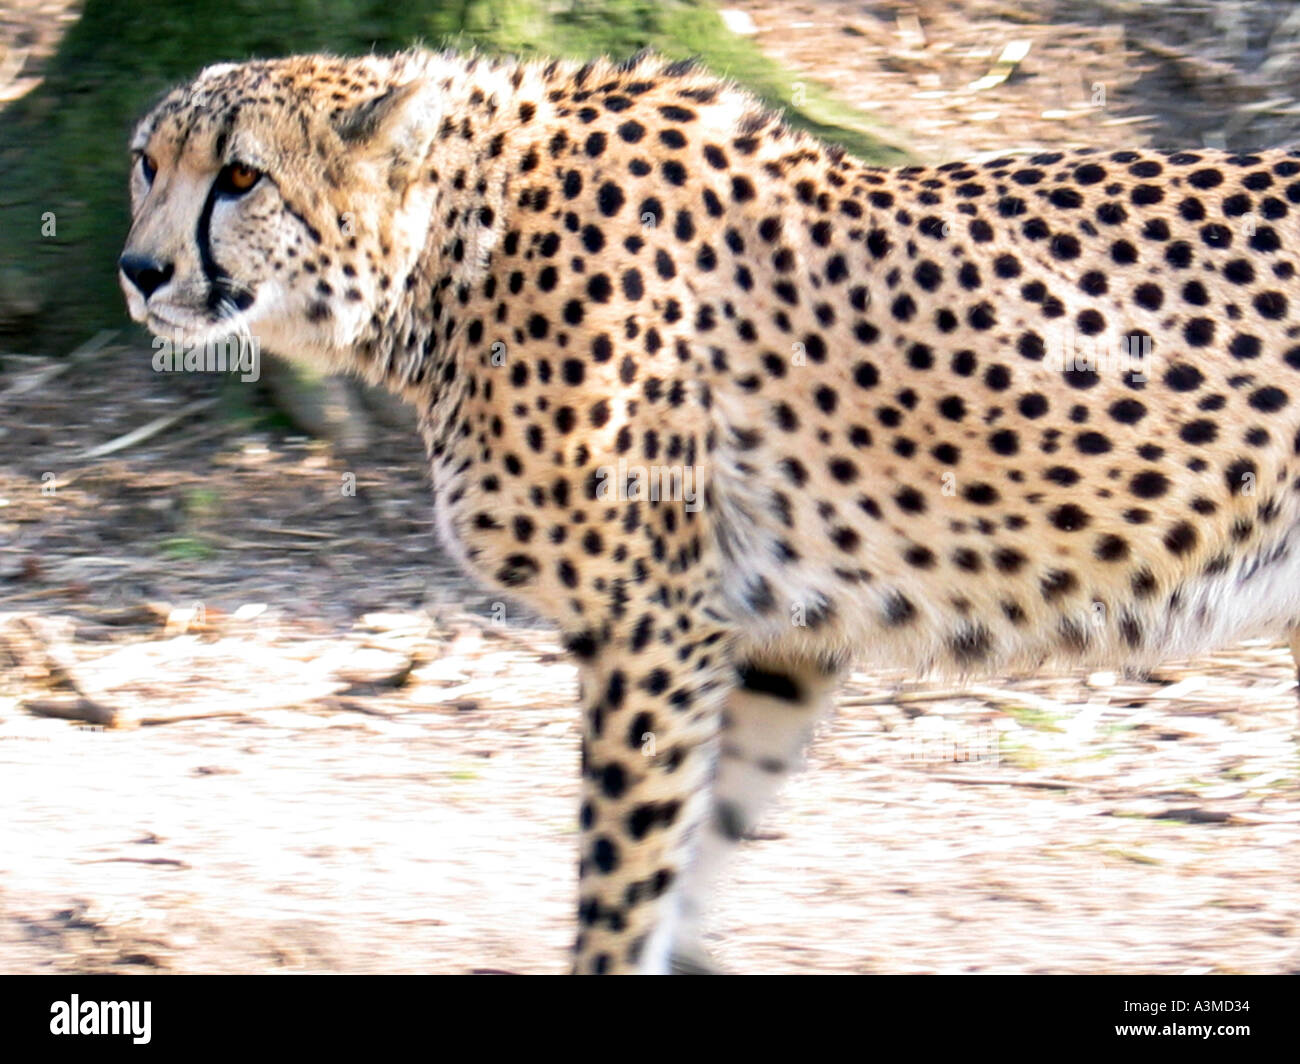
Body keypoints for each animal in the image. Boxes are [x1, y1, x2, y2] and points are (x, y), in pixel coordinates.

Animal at [119, 48, 1300, 974]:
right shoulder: (771, 630)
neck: (455, 253)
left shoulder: (652, 623)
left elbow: (623, 867)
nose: (138, 268)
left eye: (240, 176)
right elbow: (700, 834)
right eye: (148, 163)